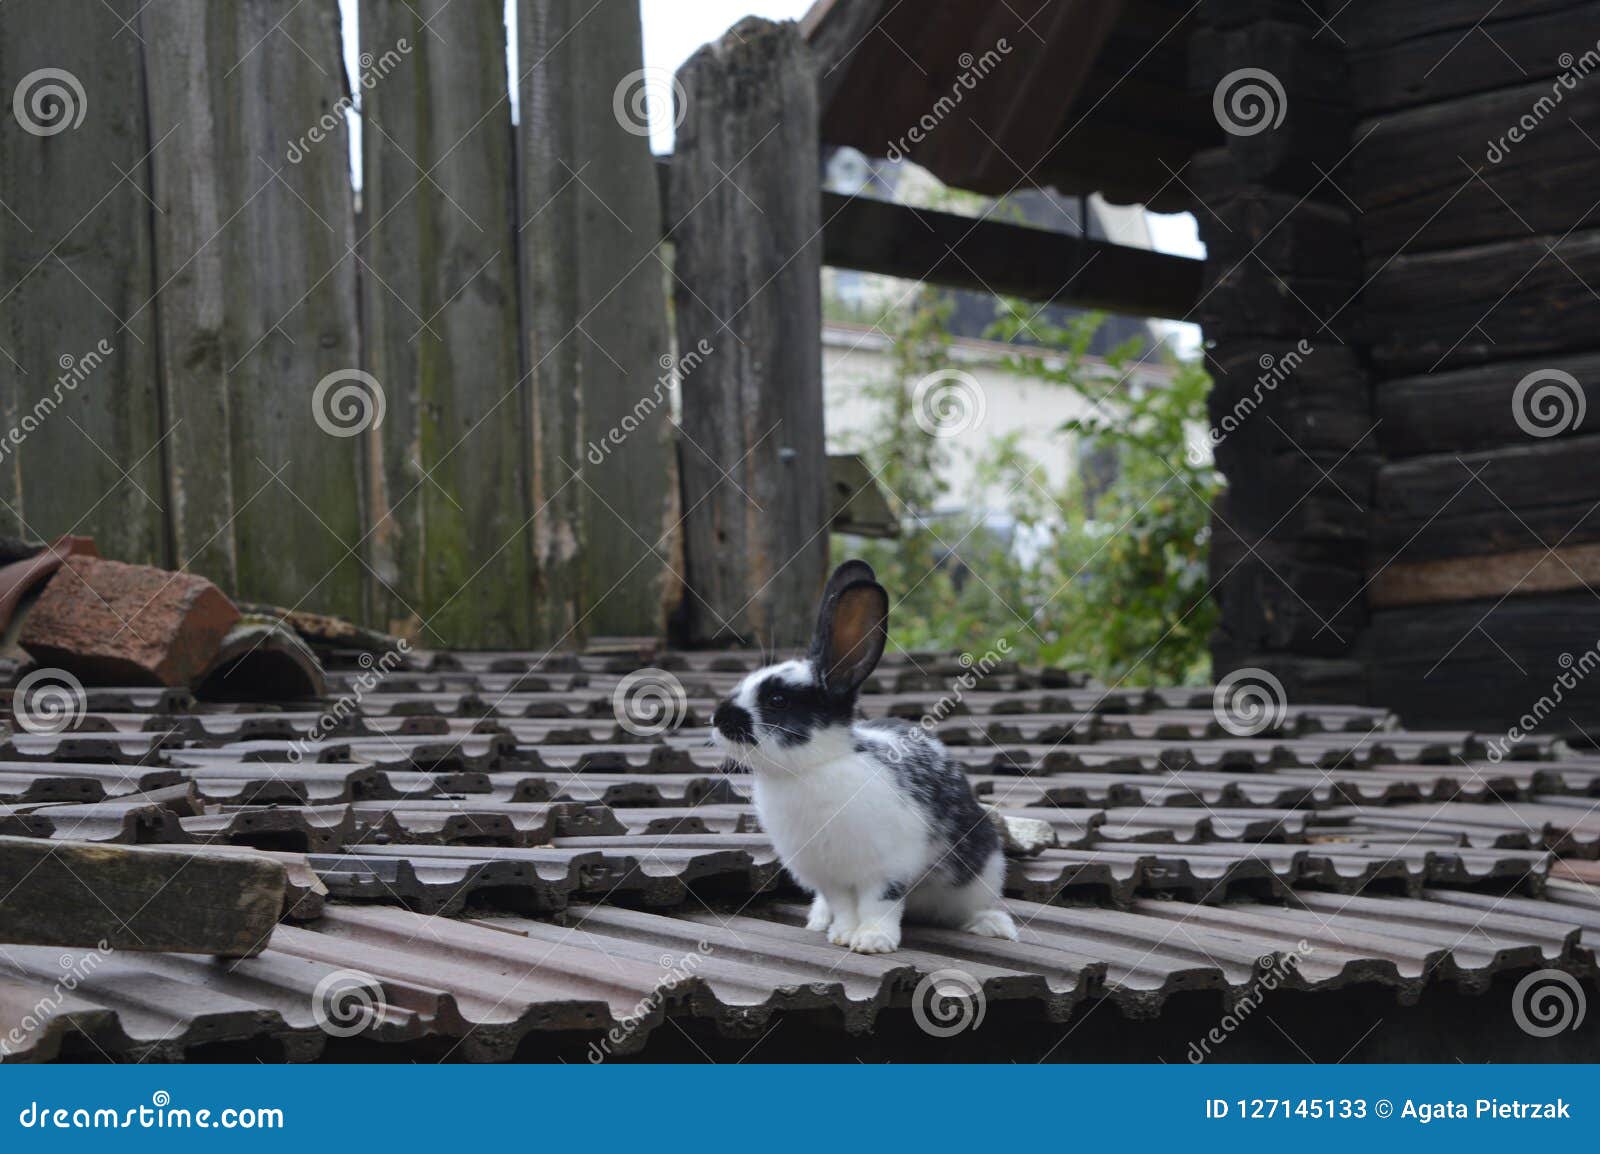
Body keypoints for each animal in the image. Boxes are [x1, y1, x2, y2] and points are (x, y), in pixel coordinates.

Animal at [710, 559, 1018, 954]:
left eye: (777, 701)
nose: (718, 719)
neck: (815, 767)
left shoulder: (885, 869)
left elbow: (878, 904)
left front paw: (872, 940)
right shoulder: (830, 878)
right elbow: (843, 906)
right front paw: (842, 934)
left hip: (980, 873)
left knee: (963, 909)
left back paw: (992, 924)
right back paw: (819, 920)